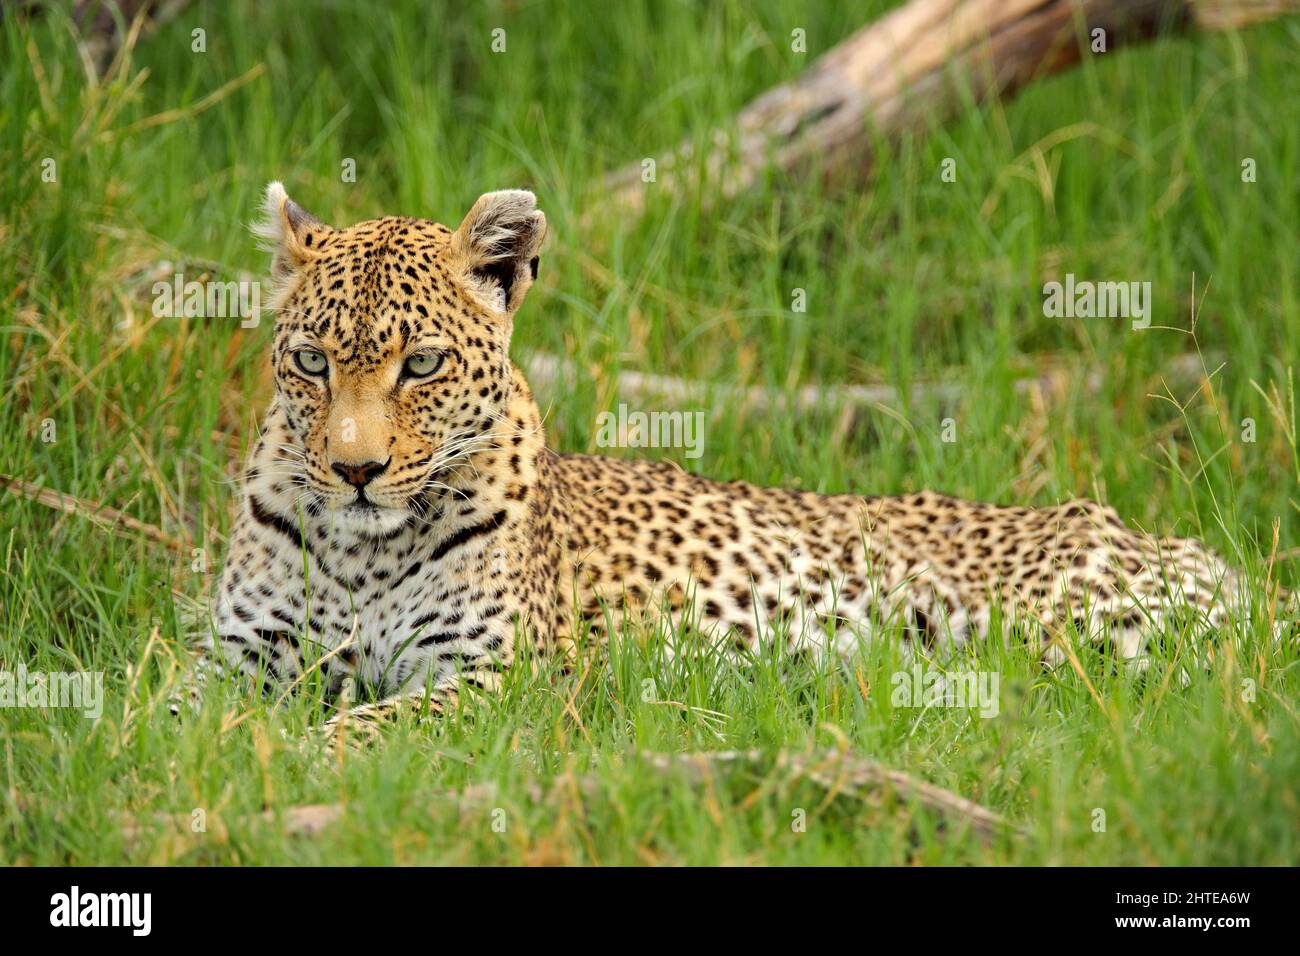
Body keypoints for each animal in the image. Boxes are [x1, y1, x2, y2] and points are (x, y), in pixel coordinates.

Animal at [200, 182, 1292, 728]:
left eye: (420, 363)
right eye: (311, 360)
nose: (355, 471)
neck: (363, 551)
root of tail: (1196, 554)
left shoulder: (501, 679)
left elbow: (361, 728)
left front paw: (291, 767)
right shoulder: (232, 659)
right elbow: (170, 720)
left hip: (1081, 626)